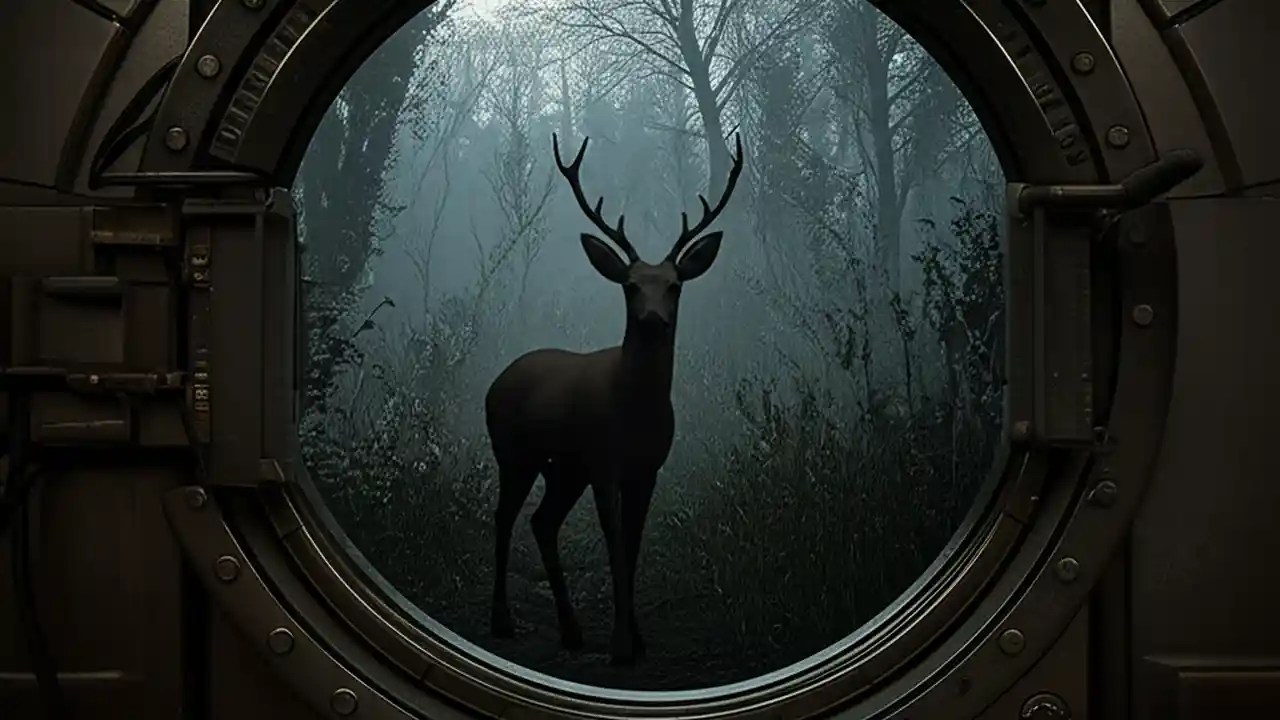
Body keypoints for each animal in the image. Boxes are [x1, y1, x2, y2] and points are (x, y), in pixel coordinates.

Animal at [485, 132, 744, 666]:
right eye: (629, 286)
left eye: (675, 285)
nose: (652, 319)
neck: (634, 411)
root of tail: (496, 381)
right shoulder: (604, 463)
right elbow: (614, 543)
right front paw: (622, 645)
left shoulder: (647, 468)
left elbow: (633, 545)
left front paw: (636, 640)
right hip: (514, 453)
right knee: (505, 518)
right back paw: (503, 621)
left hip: (564, 469)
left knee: (542, 522)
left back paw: (571, 631)